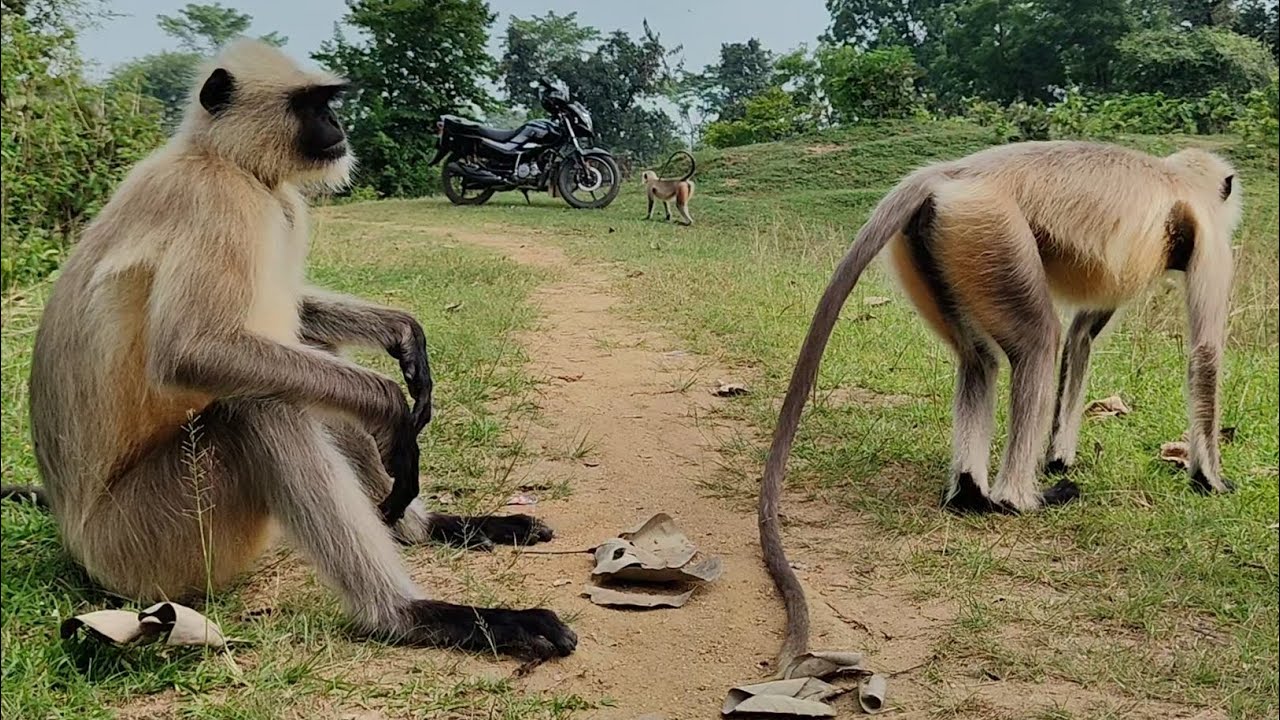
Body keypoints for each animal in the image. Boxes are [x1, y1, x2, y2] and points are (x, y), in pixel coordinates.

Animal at [4, 39, 577, 661]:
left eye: (328, 102)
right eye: (310, 104)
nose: (338, 126)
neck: (228, 161)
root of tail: (75, 537)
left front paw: (403, 335)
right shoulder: (215, 200)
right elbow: (191, 351)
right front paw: (392, 407)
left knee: (303, 364)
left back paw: (432, 530)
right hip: (147, 548)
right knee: (261, 408)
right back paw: (412, 615)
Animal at [756, 140, 1242, 671]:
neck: (1177, 181)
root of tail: (948, 173)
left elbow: (1082, 338)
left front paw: (1059, 456)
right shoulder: (1211, 237)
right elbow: (1204, 355)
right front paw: (1209, 479)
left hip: (938, 242)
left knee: (980, 359)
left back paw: (972, 495)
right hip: (990, 229)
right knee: (1038, 341)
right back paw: (1018, 499)